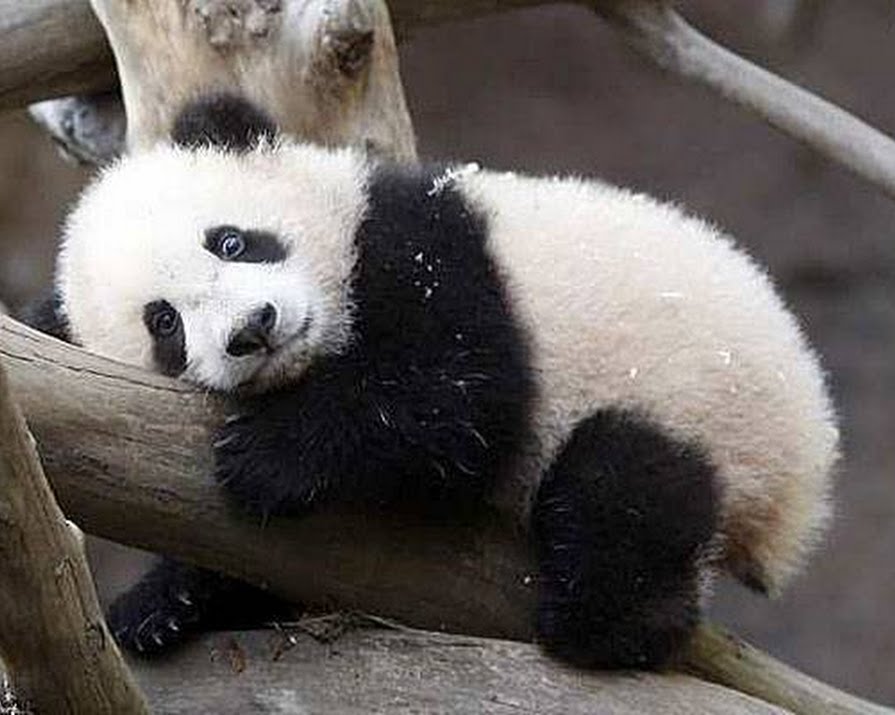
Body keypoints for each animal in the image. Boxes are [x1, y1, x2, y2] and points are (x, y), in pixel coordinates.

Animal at [27, 93, 838, 669]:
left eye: (230, 241)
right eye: (163, 323)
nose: (255, 328)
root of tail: (804, 485)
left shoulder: (424, 246)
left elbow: (456, 394)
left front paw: (268, 456)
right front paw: (160, 604)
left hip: (704, 407)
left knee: (627, 484)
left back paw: (600, 625)